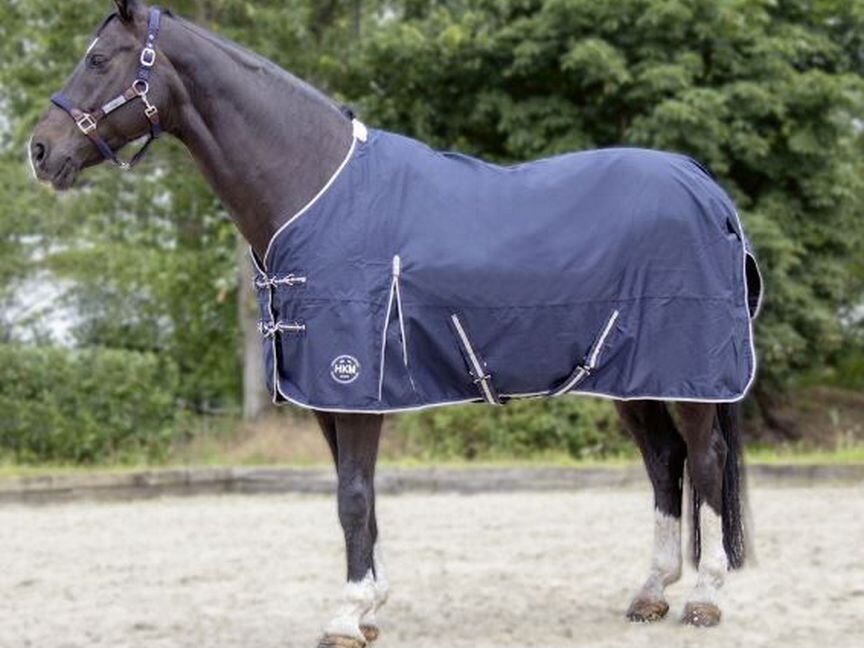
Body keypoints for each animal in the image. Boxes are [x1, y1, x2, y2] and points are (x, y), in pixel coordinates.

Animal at [30, 1, 756, 645]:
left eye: (98, 59)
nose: (40, 151)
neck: (314, 189)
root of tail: (707, 190)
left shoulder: (353, 385)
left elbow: (352, 496)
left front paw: (346, 616)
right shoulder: (330, 396)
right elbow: (362, 498)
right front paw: (372, 605)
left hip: (689, 376)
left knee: (705, 461)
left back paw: (705, 598)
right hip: (630, 377)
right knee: (664, 462)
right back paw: (651, 592)